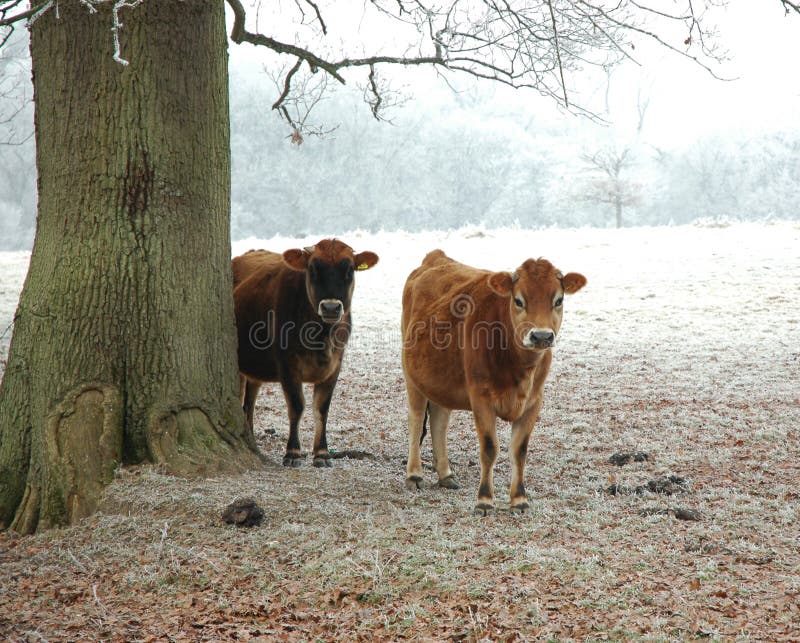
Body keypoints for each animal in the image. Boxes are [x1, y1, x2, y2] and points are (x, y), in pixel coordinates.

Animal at [233, 239, 379, 467]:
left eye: (349, 270)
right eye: (312, 269)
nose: (330, 307)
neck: (321, 337)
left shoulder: (335, 366)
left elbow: (322, 409)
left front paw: (322, 453)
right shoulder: (287, 364)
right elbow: (297, 405)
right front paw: (292, 452)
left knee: (250, 401)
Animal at [401, 250, 586, 514]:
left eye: (558, 300)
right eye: (518, 300)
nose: (541, 336)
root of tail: (435, 257)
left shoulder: (534, 401)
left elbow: (519, 450)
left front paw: (519, 500)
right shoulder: (481, 398)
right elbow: (489, 448)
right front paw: (485, 500)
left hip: (440, 381)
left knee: (439, 420)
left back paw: (445, 474)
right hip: (413, 378)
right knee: (416, 420)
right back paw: (414, 475)